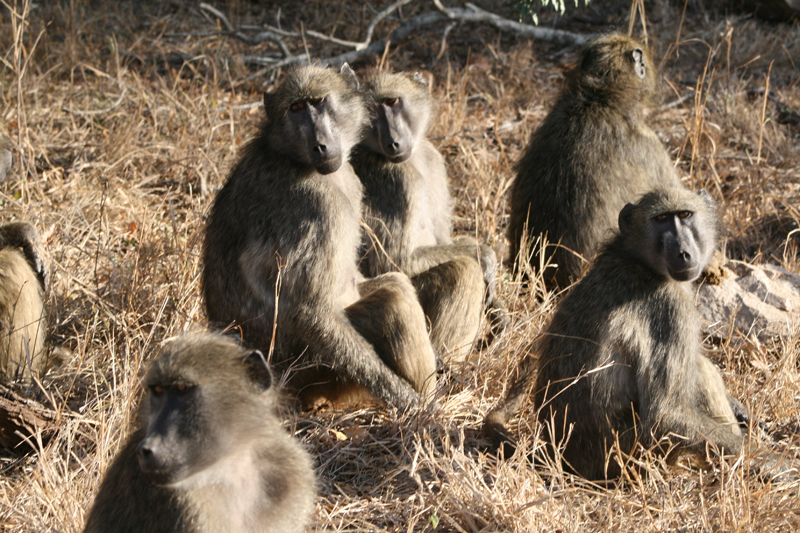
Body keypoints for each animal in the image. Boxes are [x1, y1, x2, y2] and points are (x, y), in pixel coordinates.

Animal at [202, 64, 438, 411]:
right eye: (296, 109)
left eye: (319, 102)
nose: (320, 146)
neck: (291, 157)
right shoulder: (317, 208)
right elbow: (309, 311)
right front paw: (409, 401)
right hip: (317, 372)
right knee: (393, 299)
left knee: (395, 285)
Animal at [351, 70, 504, 361]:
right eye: (370, 114)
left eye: (392, 102)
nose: (392, 142)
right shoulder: (399, 181)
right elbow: (396, 261)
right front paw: (485, 256)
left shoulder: (435, 160)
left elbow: (444, 240)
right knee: (463, 271)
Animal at [486, 188, 795, 481]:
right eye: (661, 219)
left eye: (685, 215)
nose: (683, 253)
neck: (636, 259)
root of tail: (560, 458)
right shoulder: (670, 309)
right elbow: (665, 413)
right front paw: (768, 461)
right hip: (630, 455)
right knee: (699, 371)